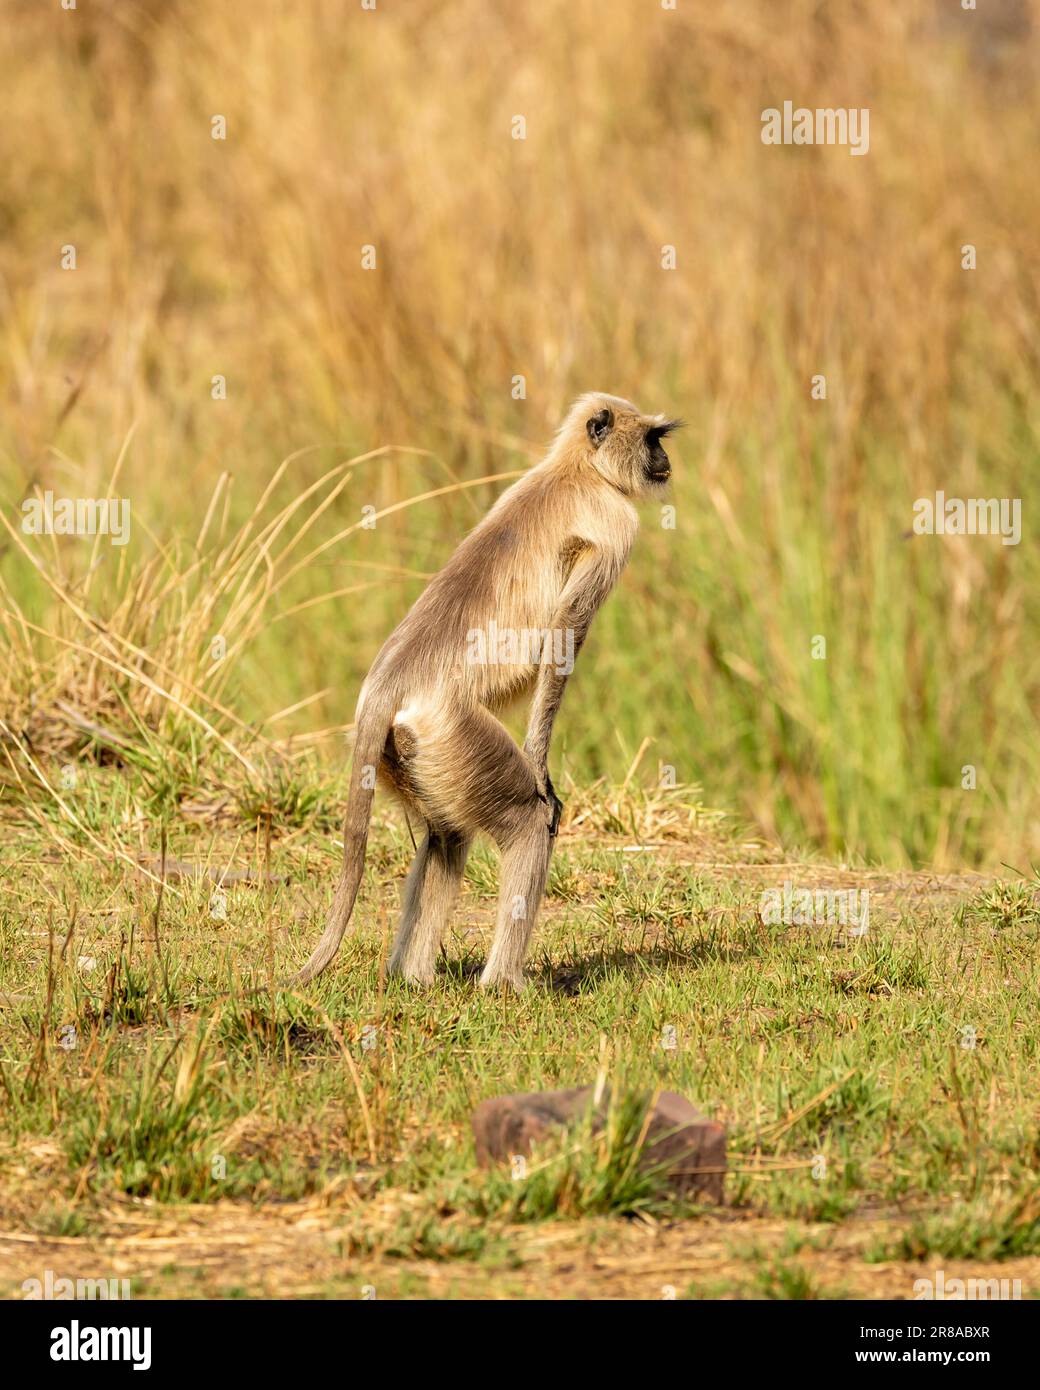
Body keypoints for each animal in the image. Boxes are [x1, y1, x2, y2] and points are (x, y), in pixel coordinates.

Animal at [293, 393, 680, 990]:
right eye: (652, 438)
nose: (664, 462)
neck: (575, 468)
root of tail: (389, 680)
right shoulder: (617, 524)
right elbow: (564, 635)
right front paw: (543, 771)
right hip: (454, 730)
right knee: (523, 820)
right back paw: (504, 983)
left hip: (415, 752)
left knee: (446, 836)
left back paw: (414, 978)